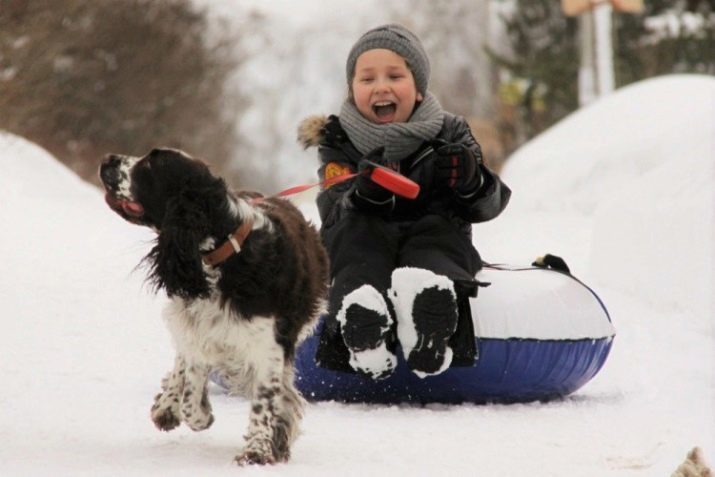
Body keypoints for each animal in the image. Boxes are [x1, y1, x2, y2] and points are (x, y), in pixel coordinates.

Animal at [99, 147, 328, 462]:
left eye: (152, 163)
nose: (107, 159)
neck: (223, 252)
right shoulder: (199, 332)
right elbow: (190, 396)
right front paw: (197, 412)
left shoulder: (268, 347)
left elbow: (267, 399)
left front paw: (258, 450)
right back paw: (166, 407)